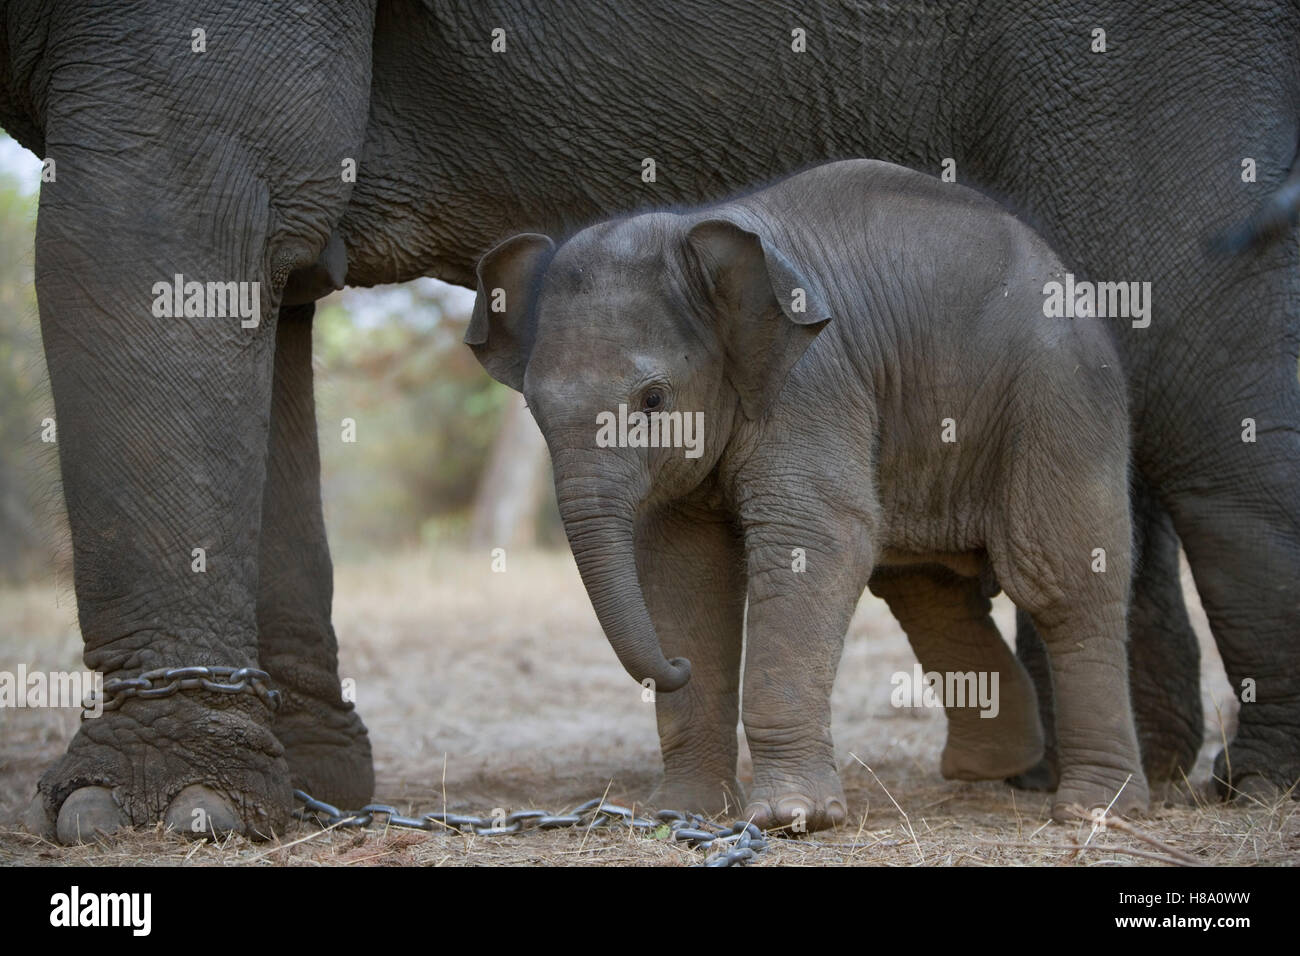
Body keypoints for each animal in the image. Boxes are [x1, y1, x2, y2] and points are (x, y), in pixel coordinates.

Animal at [465, 158, 1149, 830]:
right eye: (534, 407)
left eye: (653, 399)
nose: (673, 668)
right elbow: (684, 564)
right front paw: (683, 813)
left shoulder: (813, 380)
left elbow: (814, 539)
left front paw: (795, 819)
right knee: (928, 588)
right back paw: (990, 769)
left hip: (1060, 396)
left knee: (1059, 581)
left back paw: (1095, 811)